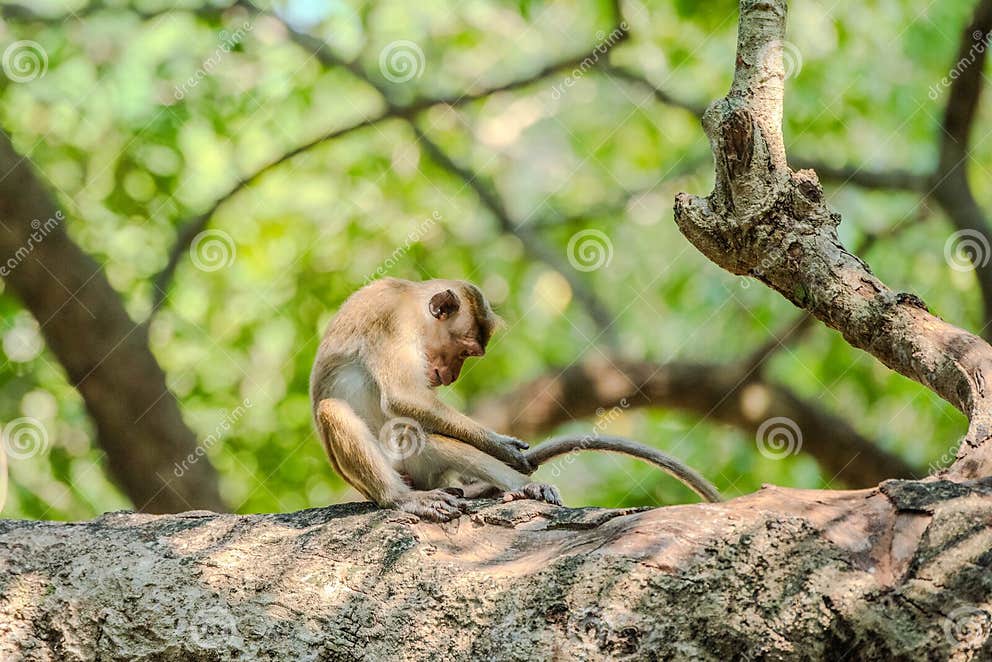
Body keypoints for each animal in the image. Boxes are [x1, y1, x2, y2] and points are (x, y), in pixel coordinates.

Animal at [310, 277, 720, 522]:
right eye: (465, 350)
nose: (451, 375)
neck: (410, 299)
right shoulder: (393, 321)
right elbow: (402, 394)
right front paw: (503, 446)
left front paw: (507, 455)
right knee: (333, 411)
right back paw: (399, 498)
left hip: (421, 466)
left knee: (428, 436)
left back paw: (520, 487)